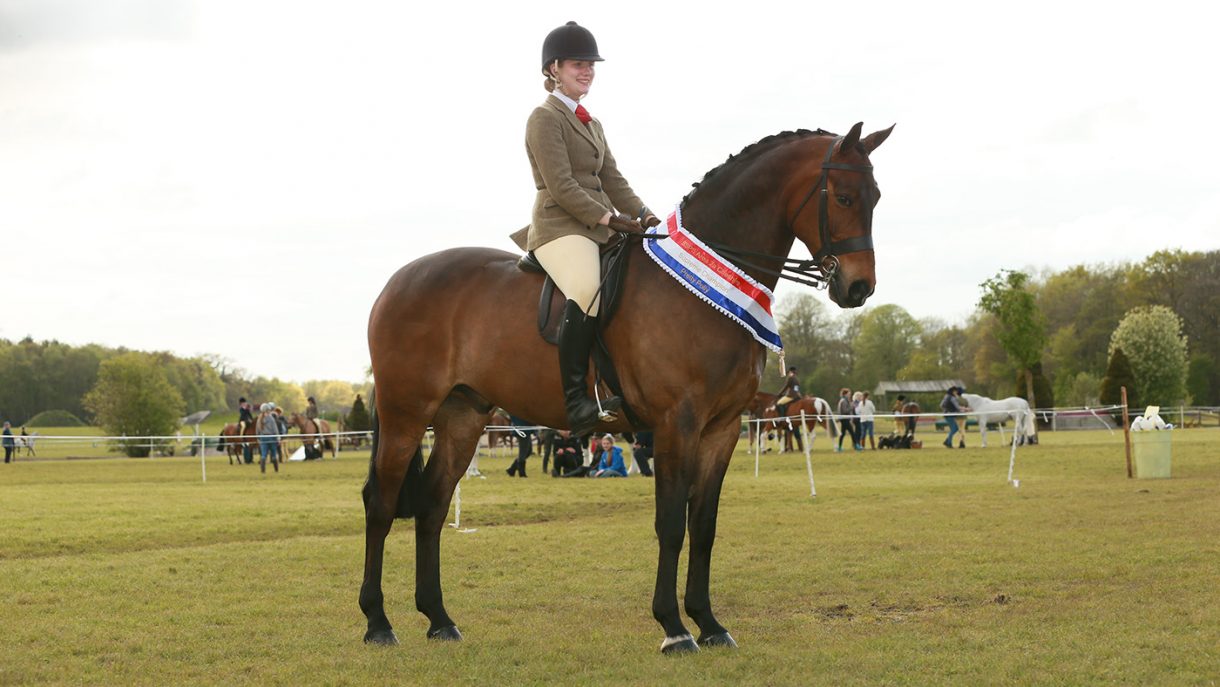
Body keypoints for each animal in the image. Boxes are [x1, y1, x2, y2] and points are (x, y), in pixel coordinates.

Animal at [361, 123, 891, 652]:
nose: (858, 288)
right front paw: (674, 628)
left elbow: (704, 525)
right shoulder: (677, 423)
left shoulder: (721, 428)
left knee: (432, 505)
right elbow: (671, 524)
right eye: (843, 197)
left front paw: (709, 623)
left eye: (876, 198)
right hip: (407, 414)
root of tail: (396, 281)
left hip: (462, 418)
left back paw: (438, 619)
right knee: (381, 503)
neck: (705, 288)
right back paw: (378, 623)